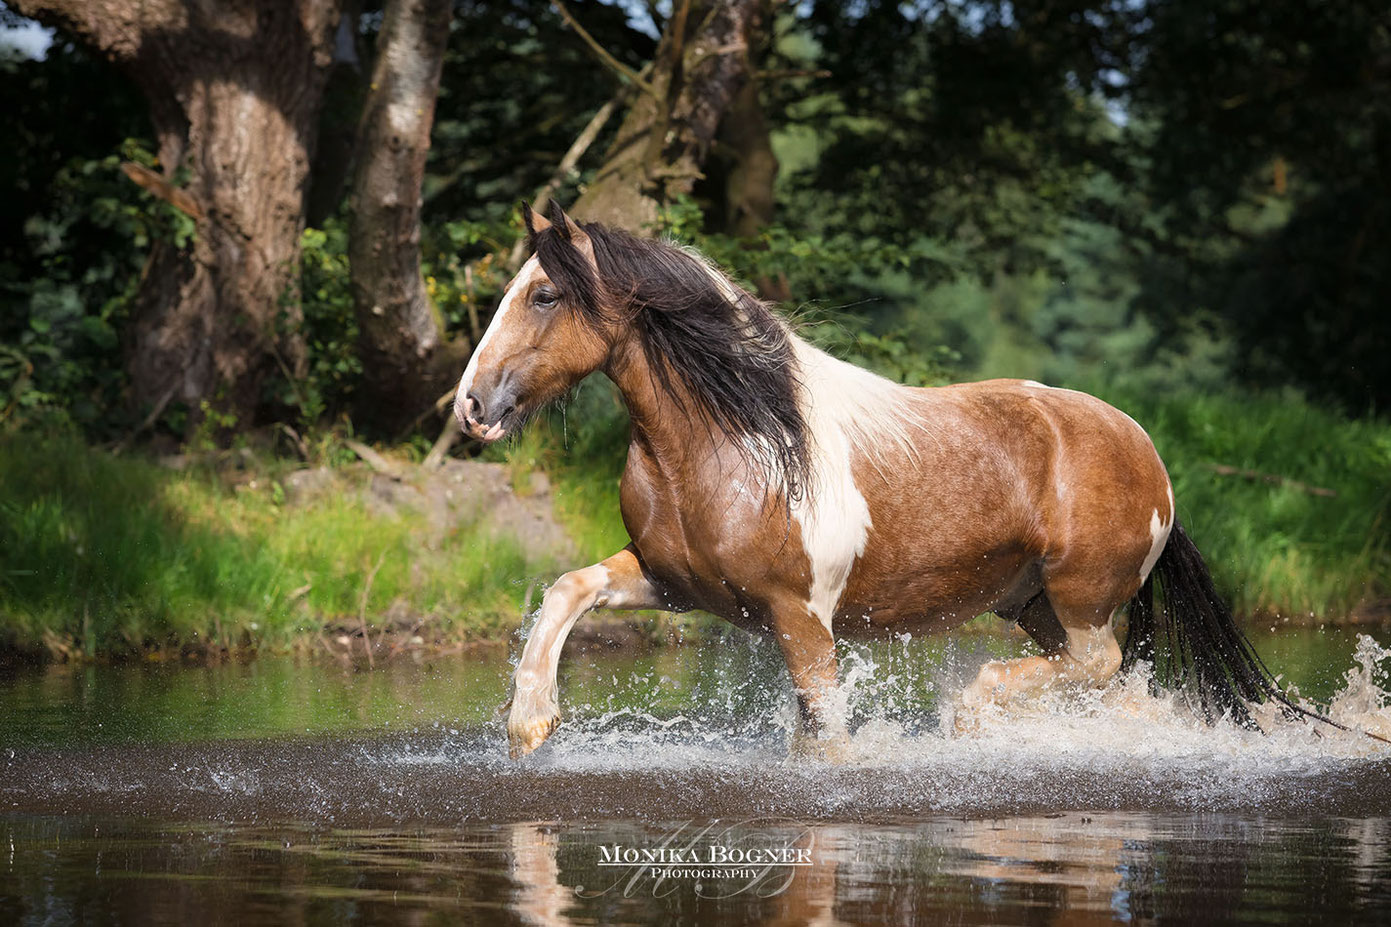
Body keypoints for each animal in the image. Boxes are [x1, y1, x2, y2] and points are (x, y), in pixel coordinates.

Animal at [456, 202, 1319, 759]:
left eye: (544, 294)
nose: (471, 404)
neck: (739, 442)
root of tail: (1143, 450)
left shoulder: (801, 619)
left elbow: (826, 734)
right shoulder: (675, 583)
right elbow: (568, 586)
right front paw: (529, 724)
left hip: (1082, 602)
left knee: (1096, 668)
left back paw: (969, 714)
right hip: (1035, 605)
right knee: (1117, 689)